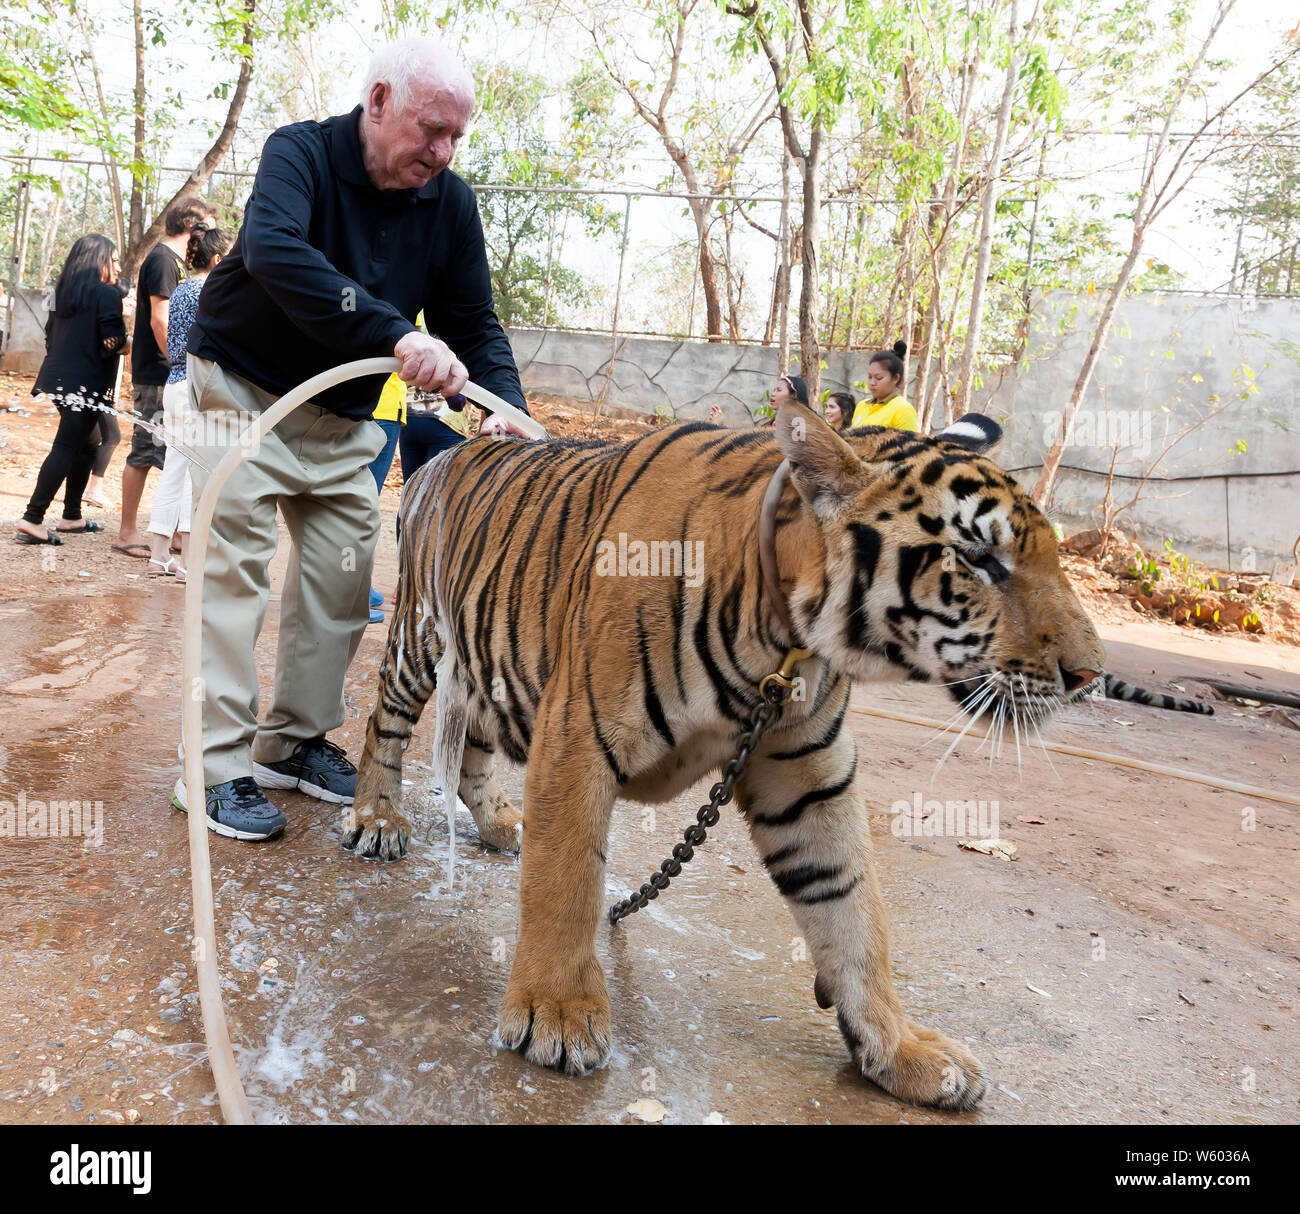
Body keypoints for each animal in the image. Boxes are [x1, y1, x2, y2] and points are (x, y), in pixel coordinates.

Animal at [343, 398, 1106, 1111]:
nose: (1089, 676)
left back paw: (501, 822)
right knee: (384, 720)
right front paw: (555, 1014)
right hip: (421, 637)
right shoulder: (578, 735)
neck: (789, 641)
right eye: (978, 559)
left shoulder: (809, 780)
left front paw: (899, 1050)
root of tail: (448, 452)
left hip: (489, 668)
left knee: (471, 740)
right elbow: (566, 882)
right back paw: (377, 821)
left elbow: (854, 912)